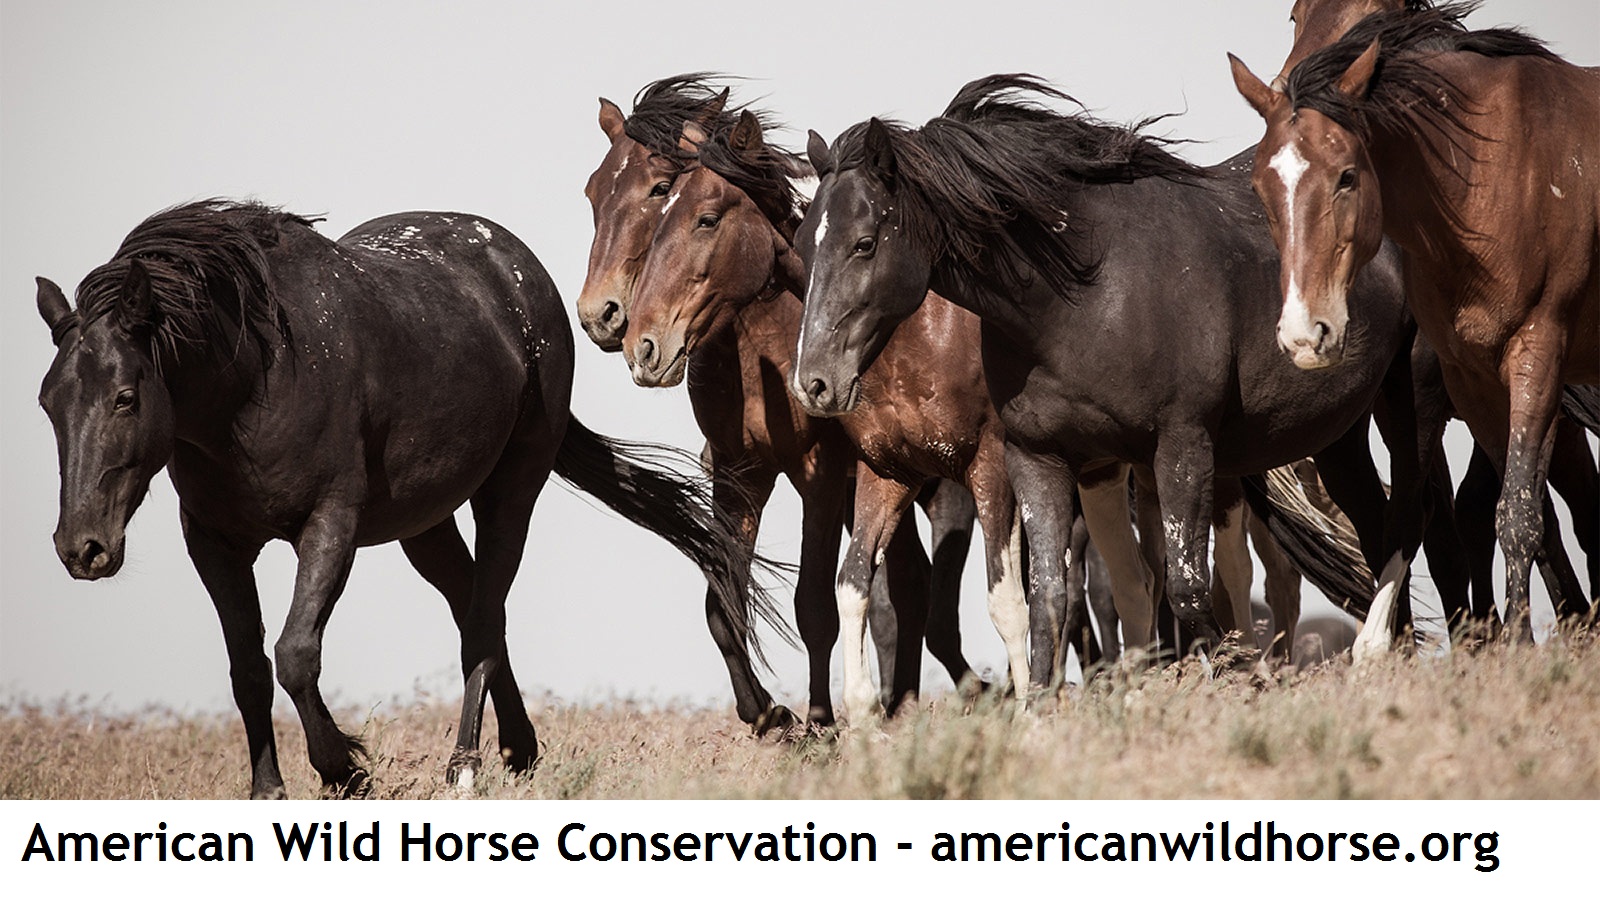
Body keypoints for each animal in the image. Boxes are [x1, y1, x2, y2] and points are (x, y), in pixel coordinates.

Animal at [35, 200, 780, 797]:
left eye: (125, 397)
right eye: (48, 401)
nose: (82, 549)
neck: (258, 377)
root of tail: (518, 270)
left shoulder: (329, 526)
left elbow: (295, 653)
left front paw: (345, 771)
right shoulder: (214, 543)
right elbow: (247, 666)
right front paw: (269, 789)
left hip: (510, 491)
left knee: (482, 616)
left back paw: (466, 765)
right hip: (424, 524)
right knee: (474, 605)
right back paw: (519, 750)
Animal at [578, 75, 994, 722]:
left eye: (666, 191)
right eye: (594, 194)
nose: (617, 327)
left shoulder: (820, 474)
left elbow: (813, 604)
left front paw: (819, 720)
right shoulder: (741, 472)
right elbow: (721, 601)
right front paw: (768, 713)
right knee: (909, 586)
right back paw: (902, 701)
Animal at [790, 75, 1440, 686]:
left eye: (864, 243)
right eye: (801, 244)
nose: (812, 382)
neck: (1087, 295)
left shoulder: (1178, 446)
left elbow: (1185, 589)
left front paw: (1238, 683)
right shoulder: (1040, 458)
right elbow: (1051, 598)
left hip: (1400, 406)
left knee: (1400, 518)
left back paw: (1367, 649)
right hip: (1336, 432)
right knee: (1369, 526)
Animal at [1230, 4, 1599, 636]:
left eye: (1347, 176)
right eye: (1295, 13)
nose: (1305, 333)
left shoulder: (1537, 353)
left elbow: (1516, 513)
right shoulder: (1470, 378)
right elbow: (1496, 517)